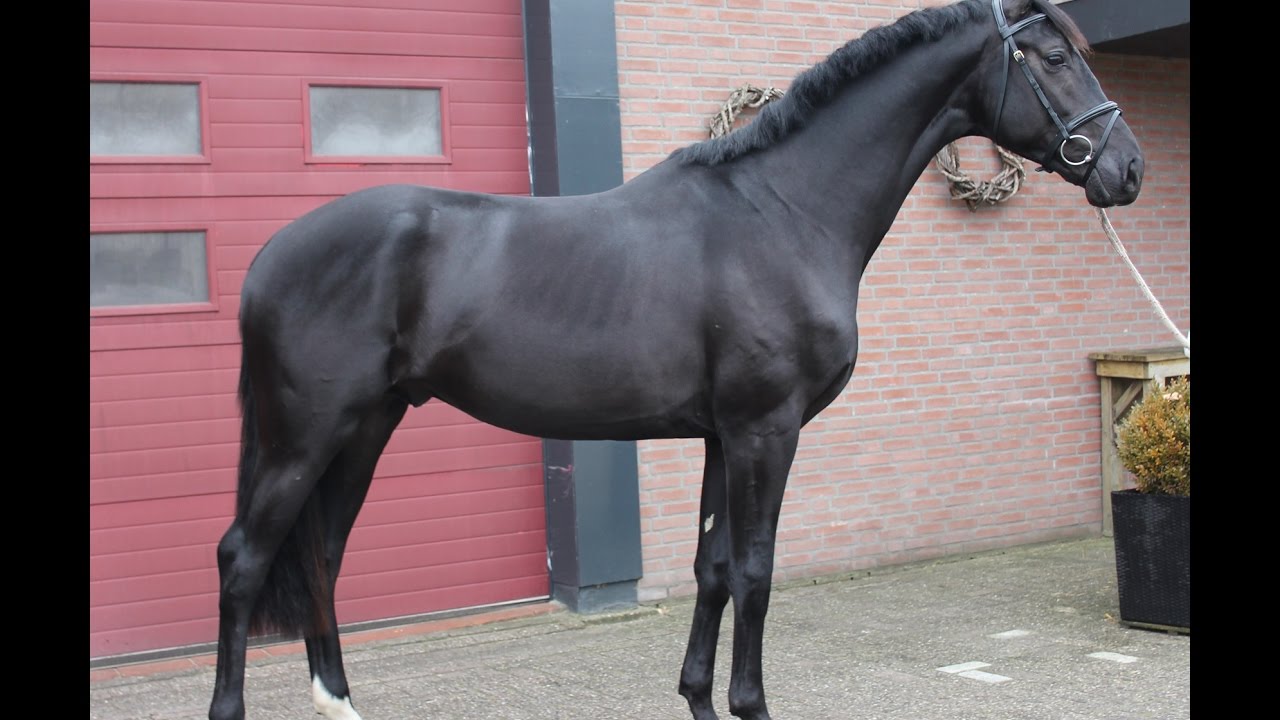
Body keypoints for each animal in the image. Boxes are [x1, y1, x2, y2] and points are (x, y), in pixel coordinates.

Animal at [208, 1, 1143, 718]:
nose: (1127, 169)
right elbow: (758, 570)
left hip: (365, 427)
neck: (782, 211)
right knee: (245, 558)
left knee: (322, 554)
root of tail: (270, 256)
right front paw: (749, 703)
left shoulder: (721, 437)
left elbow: (713, 568)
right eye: (1054, 56)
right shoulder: (767, 431)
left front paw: (698, 696)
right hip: (305, 435)